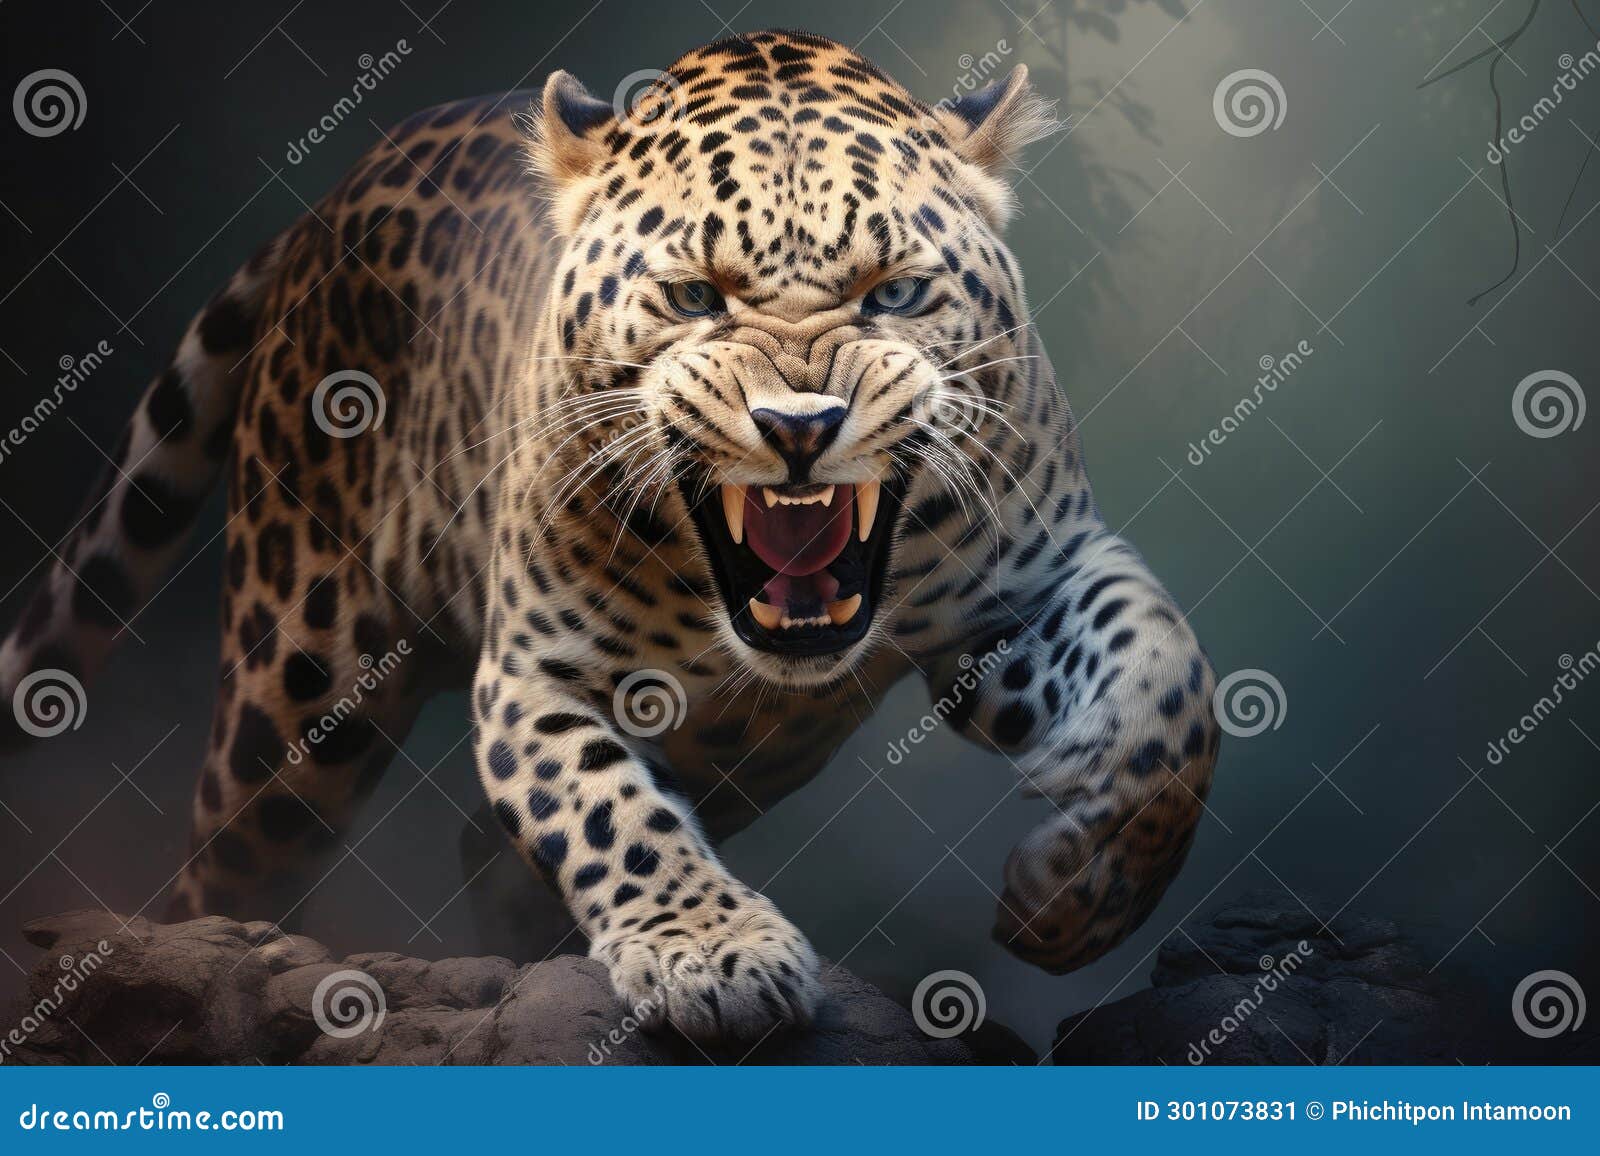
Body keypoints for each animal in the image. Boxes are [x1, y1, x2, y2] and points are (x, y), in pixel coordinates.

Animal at [0, 30, 1220, 1043]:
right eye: (693, 297)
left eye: (896, 292)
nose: (801, 427)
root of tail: (324, 205)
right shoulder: (539, 671)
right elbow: (606, 811)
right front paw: (716, 954)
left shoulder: (1032, 584)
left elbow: (1170, 687)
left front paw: (1076, 894)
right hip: (295, 686)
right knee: (227, 865)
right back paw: (198, 968)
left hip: (750, 757)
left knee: (484, 848)